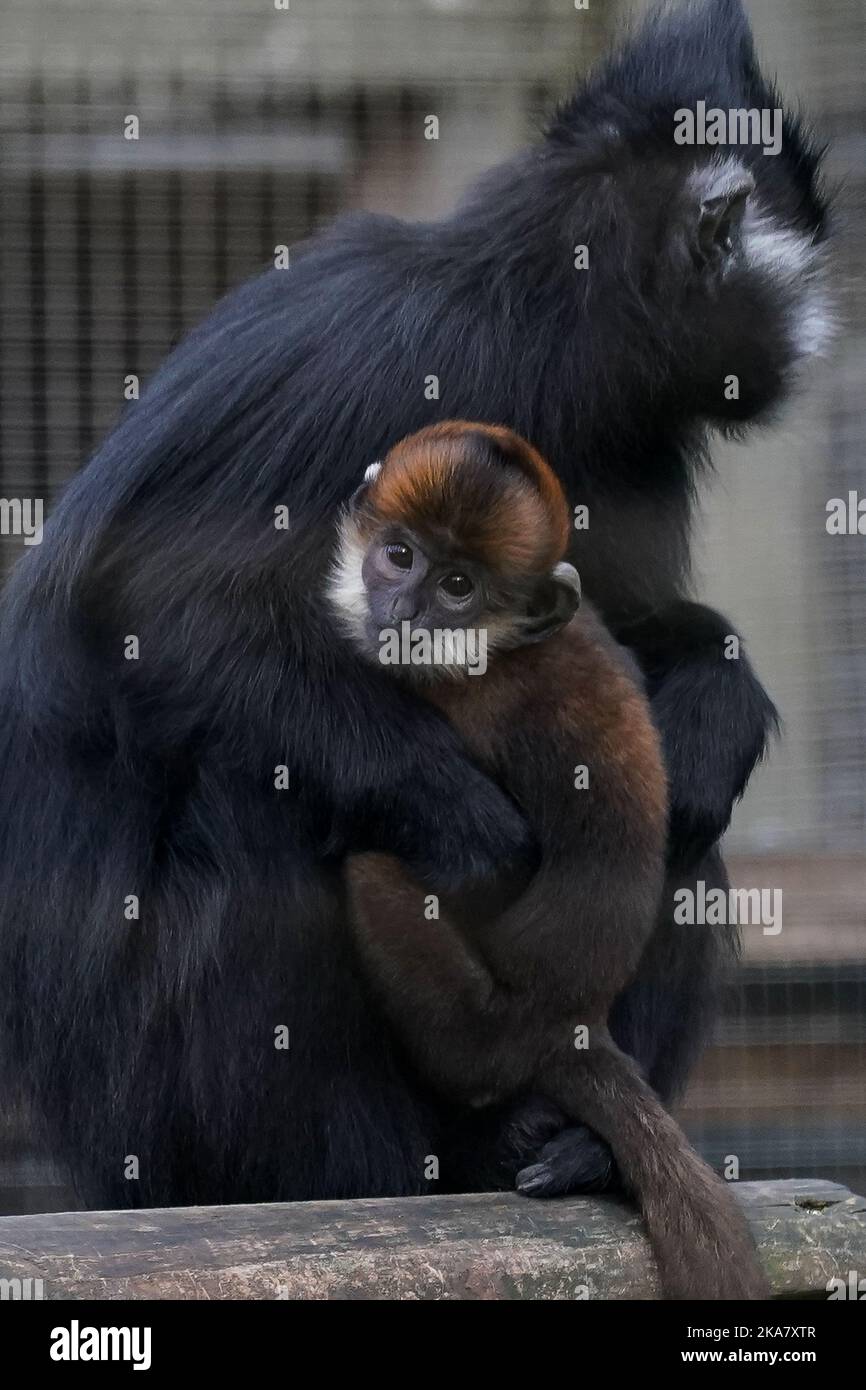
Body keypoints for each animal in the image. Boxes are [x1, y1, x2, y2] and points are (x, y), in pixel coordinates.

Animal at [0, 0, 828, 1210]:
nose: (818, 322)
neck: (541, 320)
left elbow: (625, 664)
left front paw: (717, 694)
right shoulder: (394, 337)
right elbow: (133, 613)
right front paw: (457, 817)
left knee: (671, 797)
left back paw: (570, 1140)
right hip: (147, 1094)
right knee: (253, 796)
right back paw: (352, 1179)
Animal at [331, 421, 768, 1300]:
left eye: (457, 586)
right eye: (399, 555)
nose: (404, 609)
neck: (498, 649)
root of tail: (572, 1025)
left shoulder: (464, 700)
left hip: (474, 1023)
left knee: (371, 870)